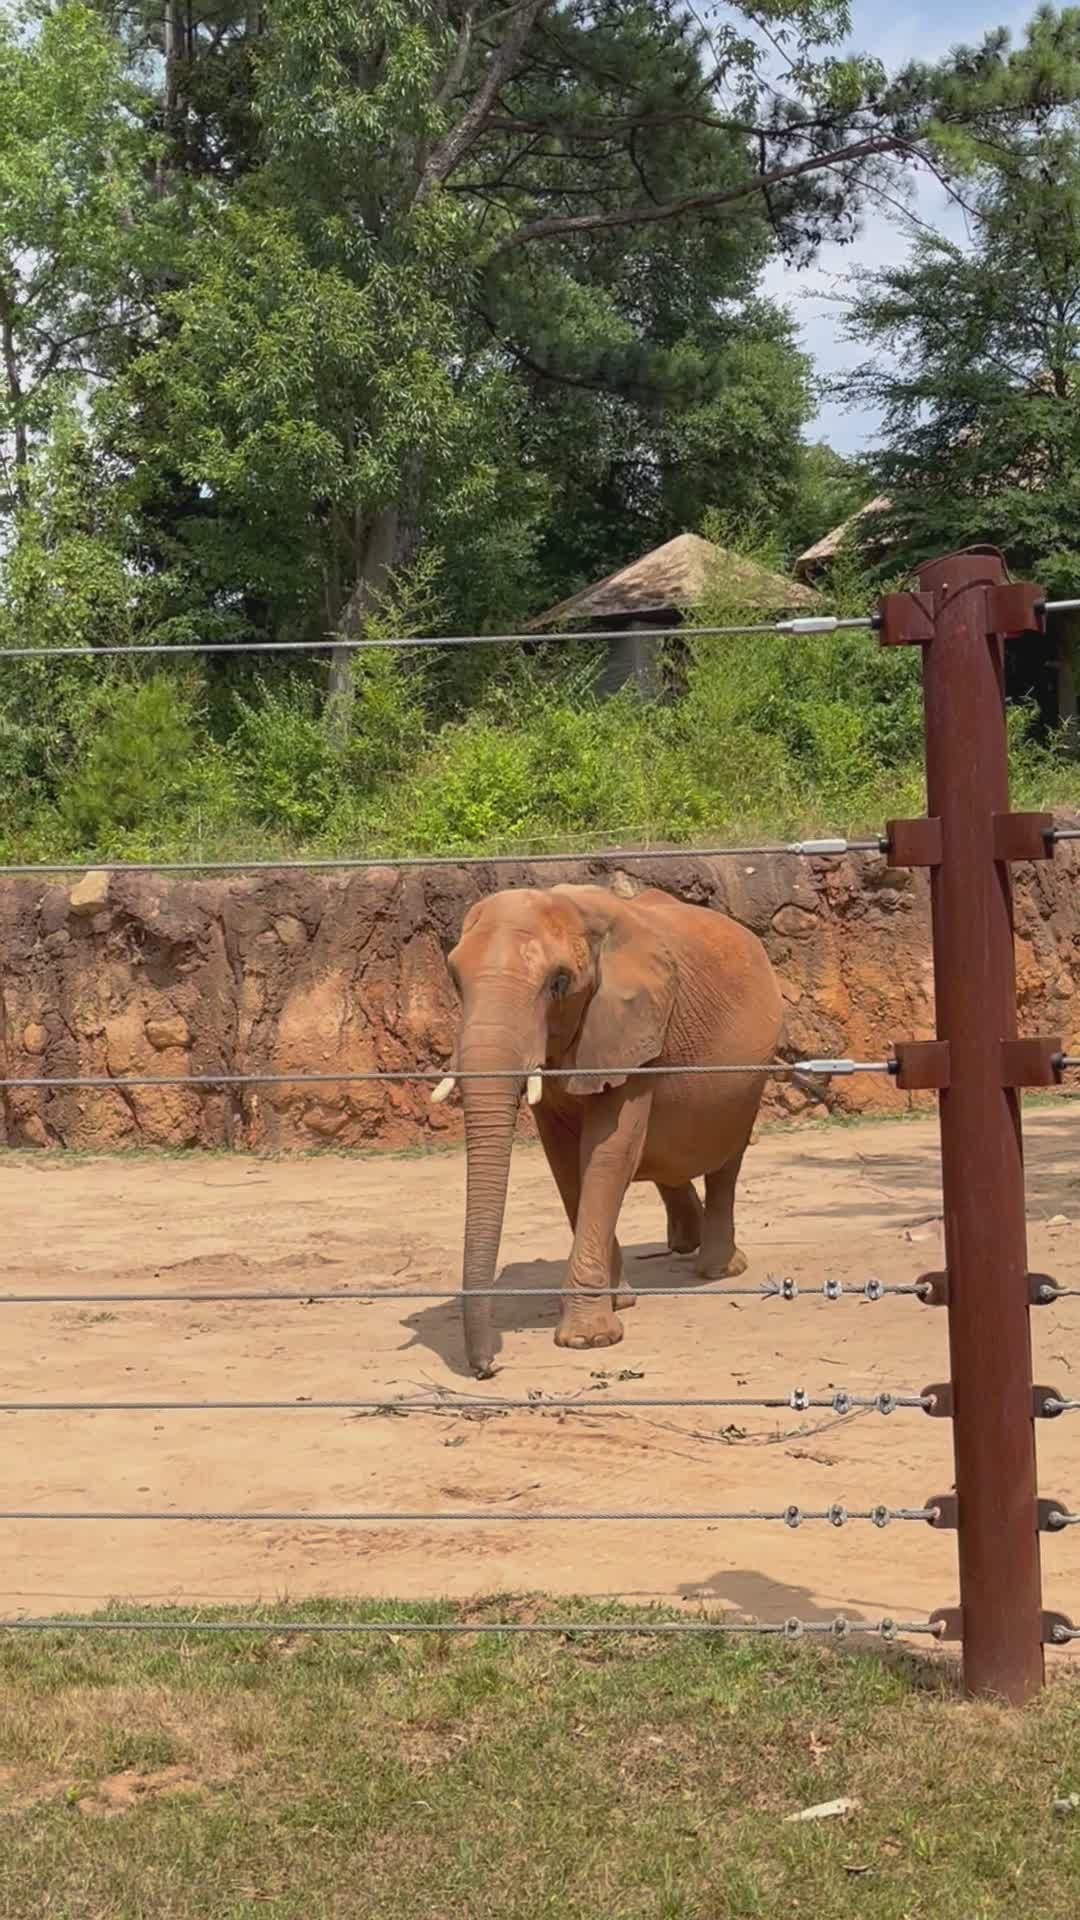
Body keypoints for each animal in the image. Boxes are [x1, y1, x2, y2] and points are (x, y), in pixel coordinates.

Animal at [437, 882, 783, 1377]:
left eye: (558, 983)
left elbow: (608, 1152)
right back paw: (685, 1242)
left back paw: (718, 1268)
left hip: (749, 1074)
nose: (488, 1368)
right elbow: (565, 1162)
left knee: (726, 1160)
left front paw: (589, 1339)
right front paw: (618, 1301)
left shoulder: (635, 1030)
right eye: (455, 979)